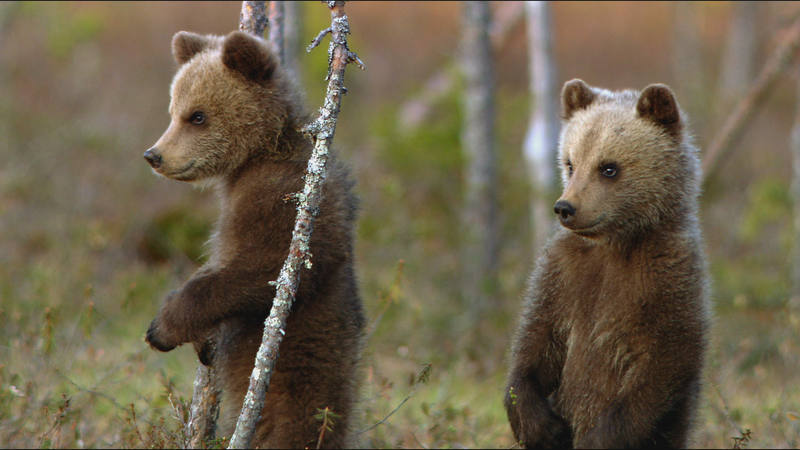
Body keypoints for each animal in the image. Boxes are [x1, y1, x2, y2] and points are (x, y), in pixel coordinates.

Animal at [142, 30, 365, 449]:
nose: (154, 155)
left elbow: (265, 271)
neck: (261, 152)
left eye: (197, 115)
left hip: (296, 376)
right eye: (173, 109)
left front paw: (163, 326)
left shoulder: (281, 201)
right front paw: (203, 342)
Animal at [503, 79, 710, 449]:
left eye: (609, 167)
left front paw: (595, 437)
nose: (565, 207)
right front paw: (542, 426)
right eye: (571, 162)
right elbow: (534, 341)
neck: (615, 243)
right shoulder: (563, 273)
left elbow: (662, 364)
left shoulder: (665, 278)